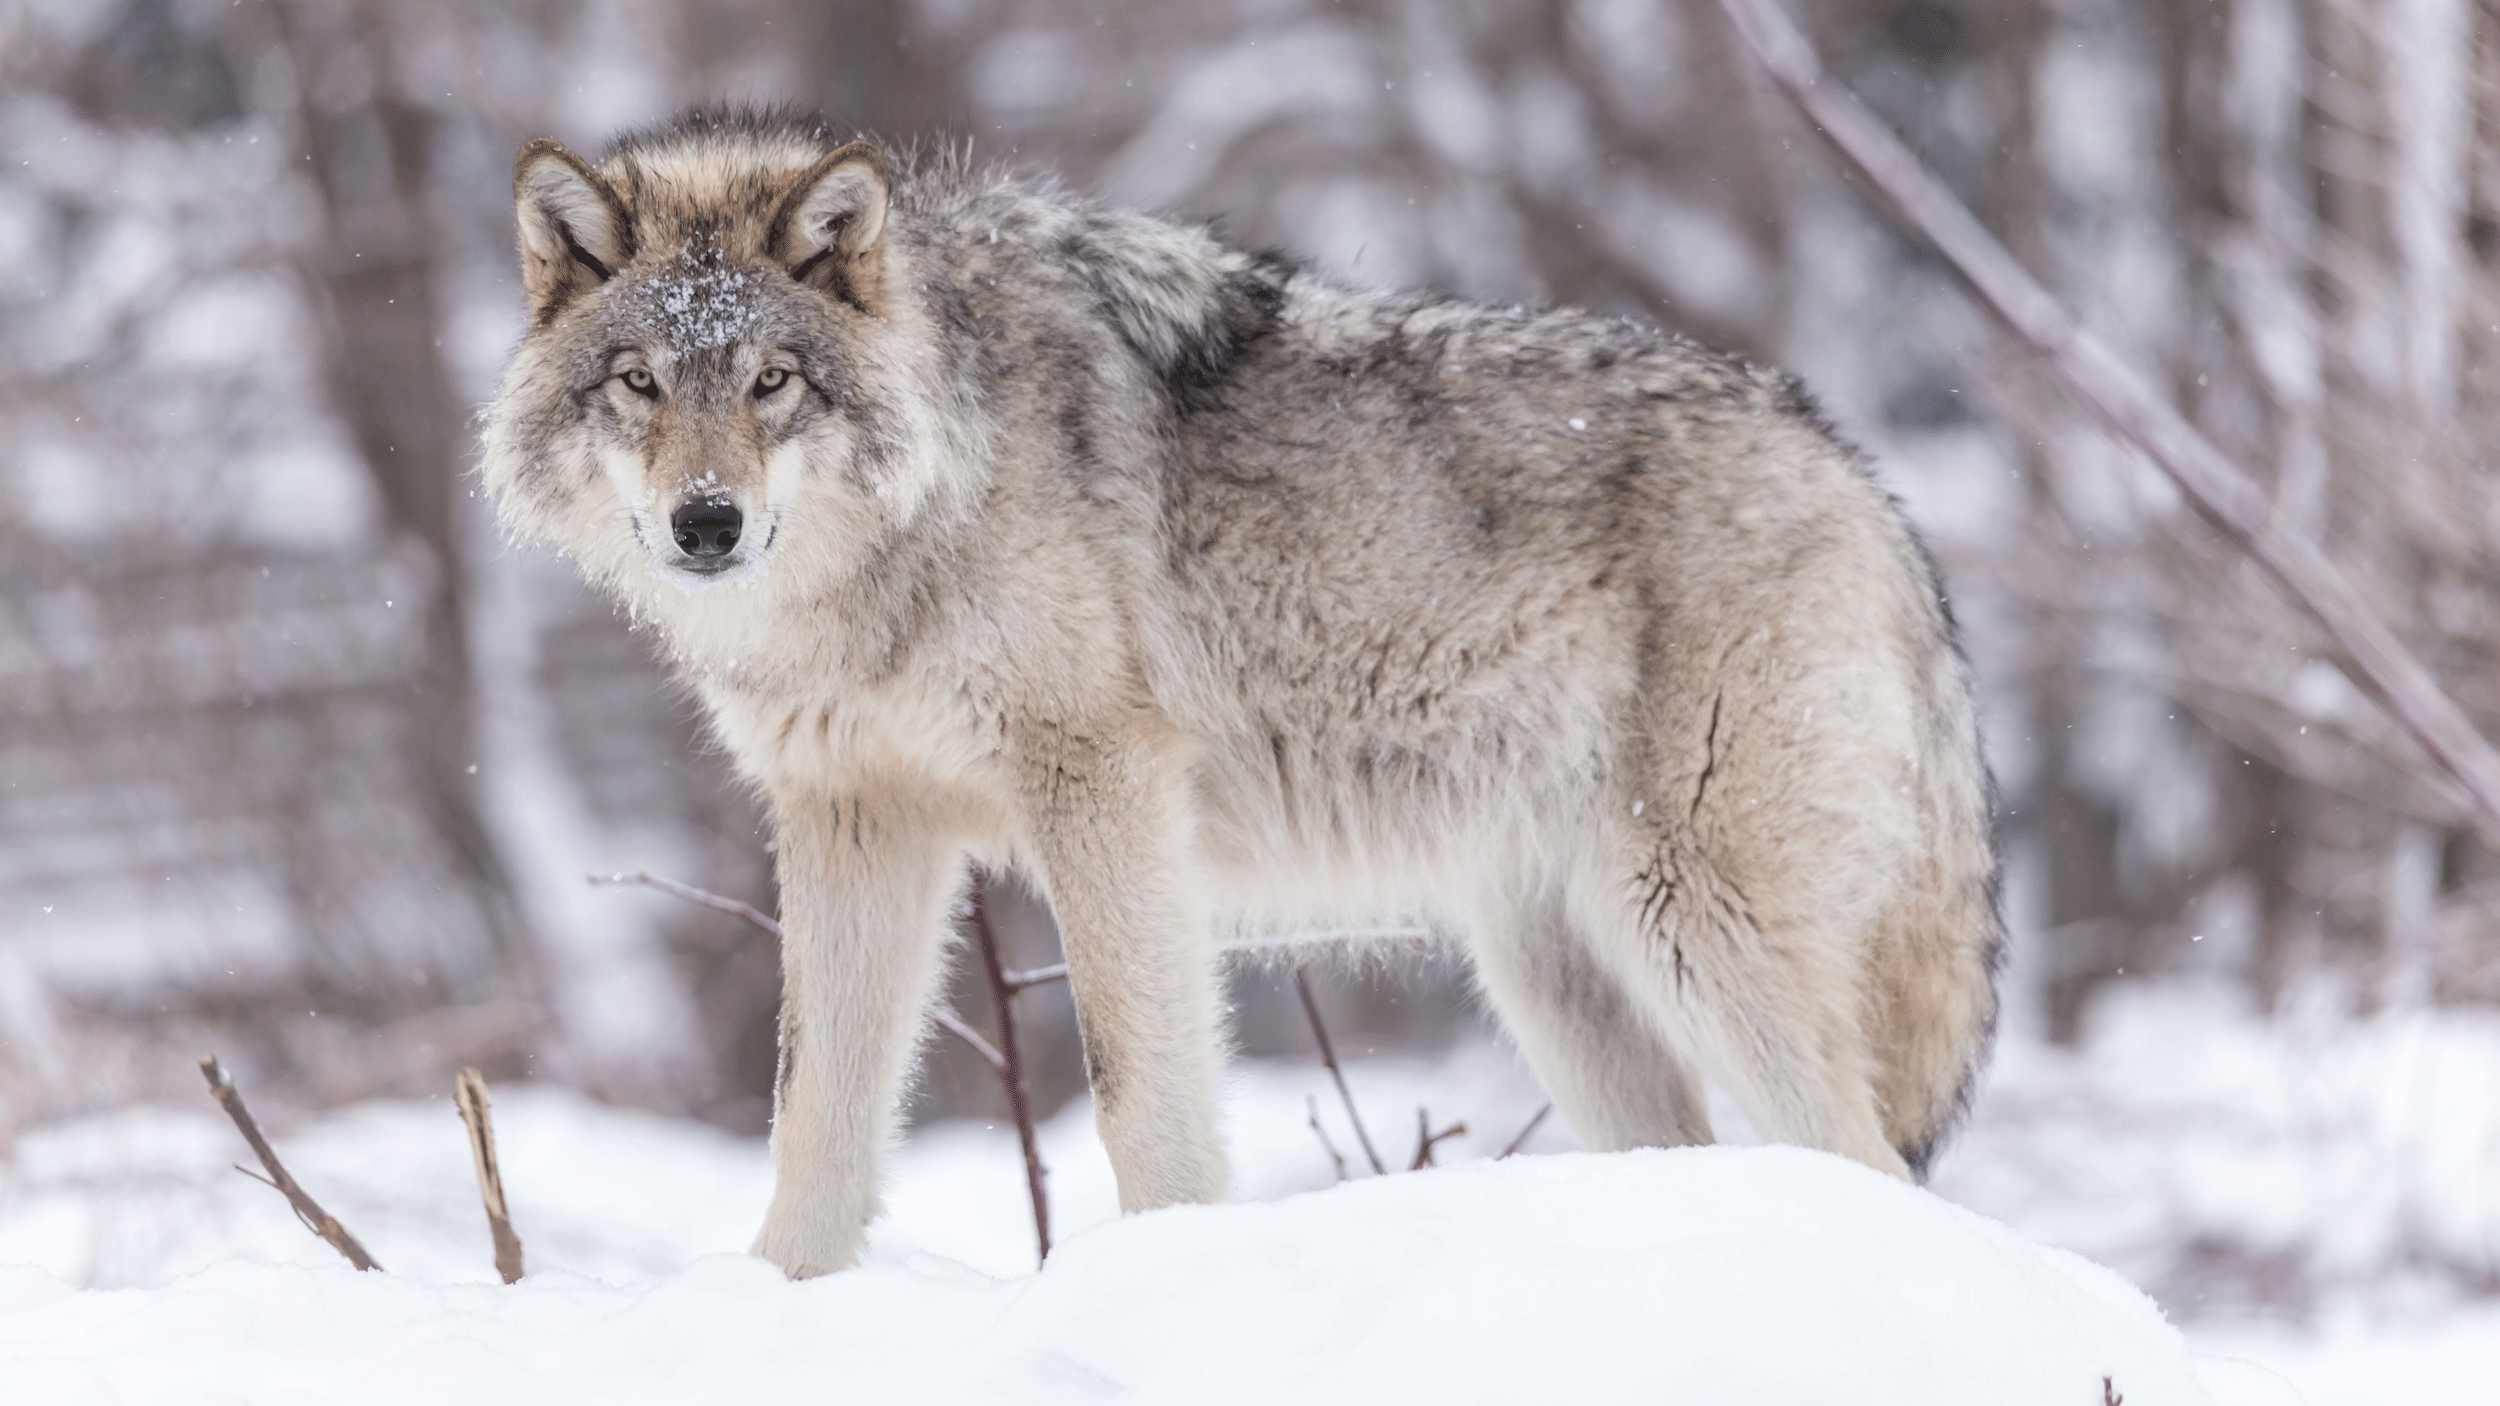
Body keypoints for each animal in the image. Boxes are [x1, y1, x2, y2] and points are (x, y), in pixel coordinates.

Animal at [481, 106, 2002, 1278]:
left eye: (773, 381)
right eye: (639, 382)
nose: (707, 524)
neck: (912, 525)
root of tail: (1860, 475)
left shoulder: (1099, 783)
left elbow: (1136, 1087)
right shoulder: (853, 815)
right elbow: (815, 1111)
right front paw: (782, 1299)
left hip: (1693, 927)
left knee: (1872, 1160)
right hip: (1560, 974)